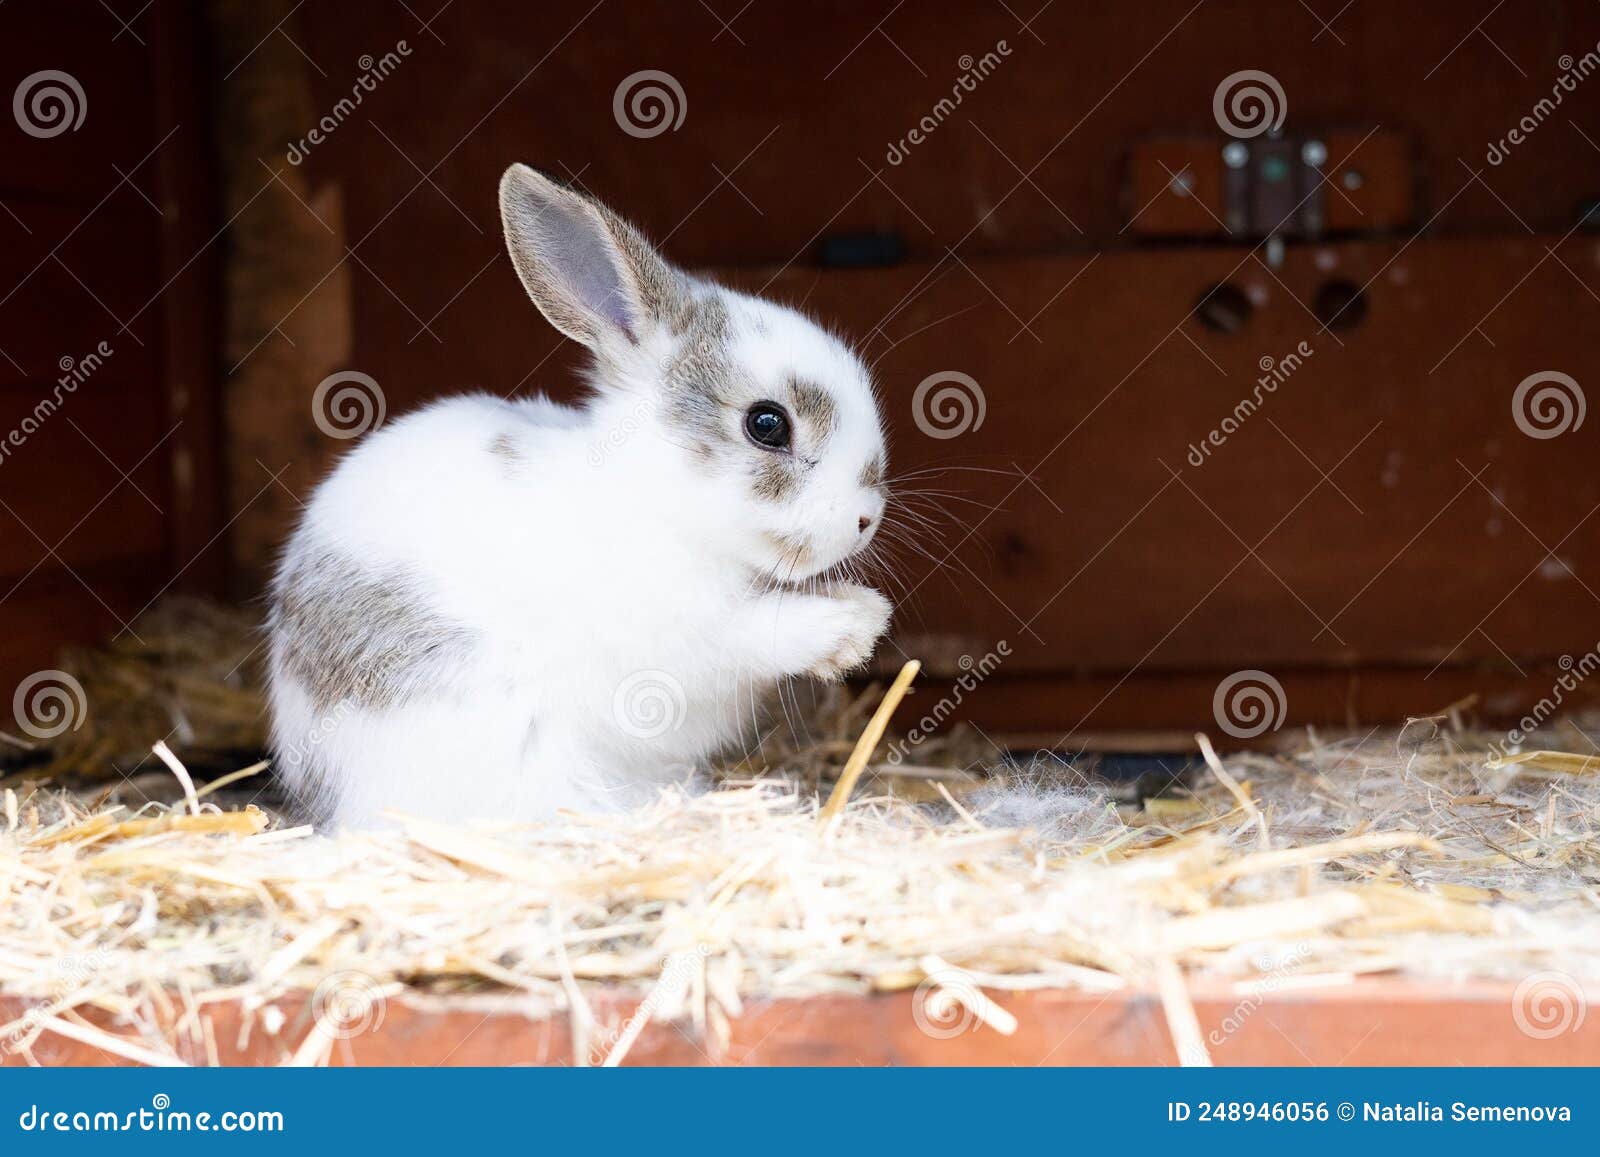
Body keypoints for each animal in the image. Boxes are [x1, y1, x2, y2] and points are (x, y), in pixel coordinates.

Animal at [266, 164, 894, 827]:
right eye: (767, 424)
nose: (866, 518)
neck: (661, 500)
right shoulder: (685, 633)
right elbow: (758, 632)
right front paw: (859, 623)